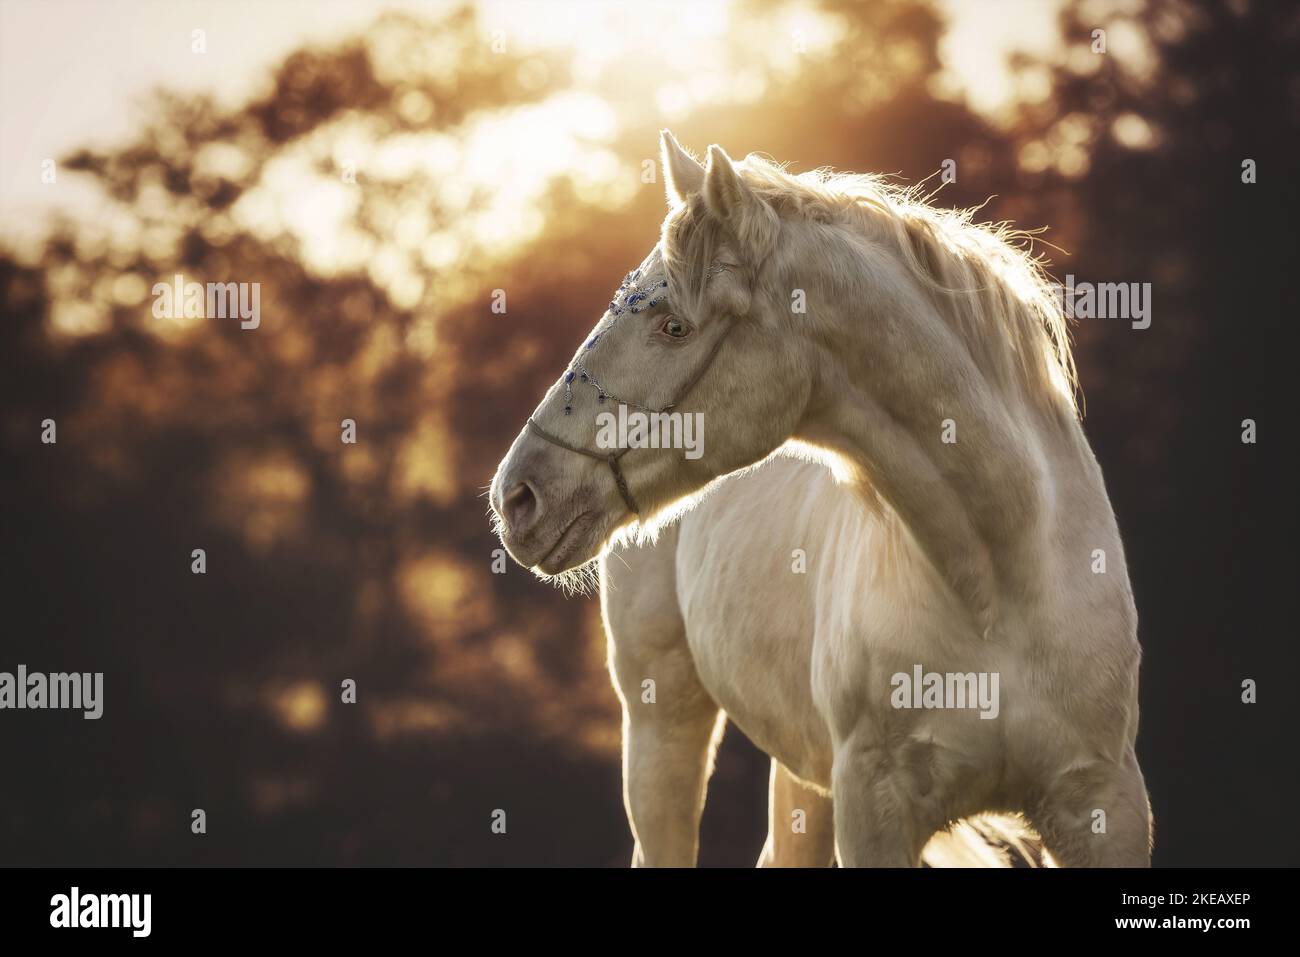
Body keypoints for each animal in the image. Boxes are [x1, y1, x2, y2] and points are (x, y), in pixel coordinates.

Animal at [490, 131, 1152, 867]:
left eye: (673, 326)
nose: (518, 496)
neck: (1000, 585)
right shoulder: (873, 807)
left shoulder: (1102, 803)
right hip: (661, 726)